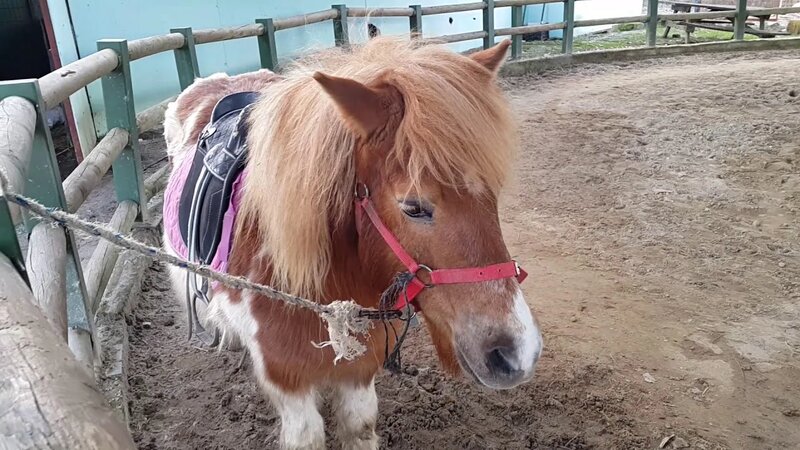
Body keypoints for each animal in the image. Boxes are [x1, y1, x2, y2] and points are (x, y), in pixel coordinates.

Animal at [162, 37, 542, 449]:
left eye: (493, 195)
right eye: (413, 206)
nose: (518, 353)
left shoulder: (360, 369)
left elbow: (359, 426)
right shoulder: (286, 378)